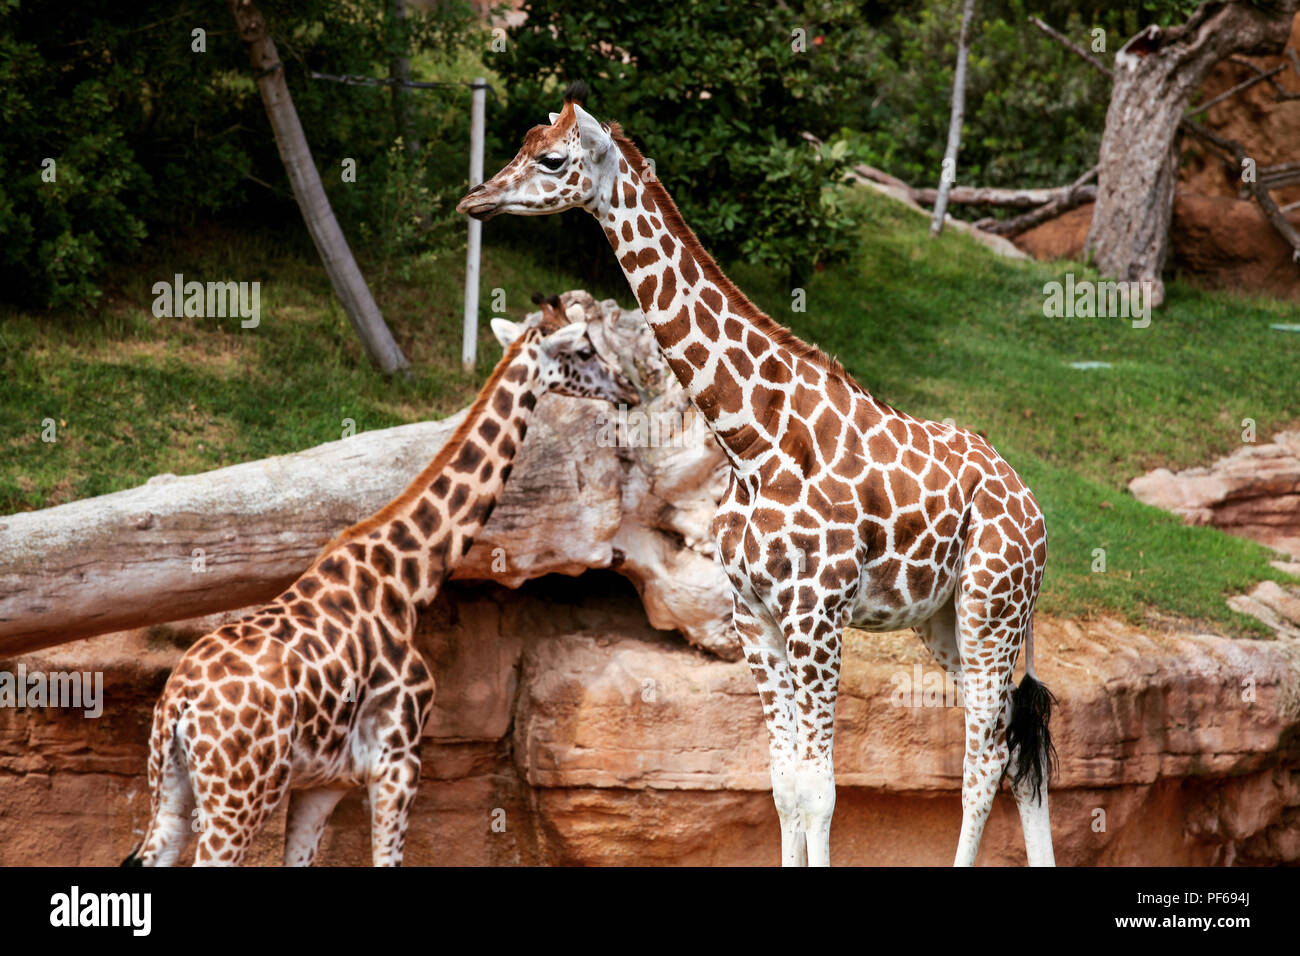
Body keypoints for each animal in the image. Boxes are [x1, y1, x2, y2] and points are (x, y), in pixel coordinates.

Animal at [122, 297, 639, 866]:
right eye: (585, 349)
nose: (631, 389)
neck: (408, 580)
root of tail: (179, 704)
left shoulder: (323, 782)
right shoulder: (399, 760)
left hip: (172, 786)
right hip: (239, 794)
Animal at [458, 84, 1057, 867]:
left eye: (552, 158)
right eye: (521, 145)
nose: (474, 198)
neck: (749, 438)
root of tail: (1036, 509)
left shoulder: (816, 615)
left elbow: (822, 789)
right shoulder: (756, 617)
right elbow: (783, 784)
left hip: (992, 605)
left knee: (984, 756)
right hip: (946, 619)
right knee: (1018, 752)